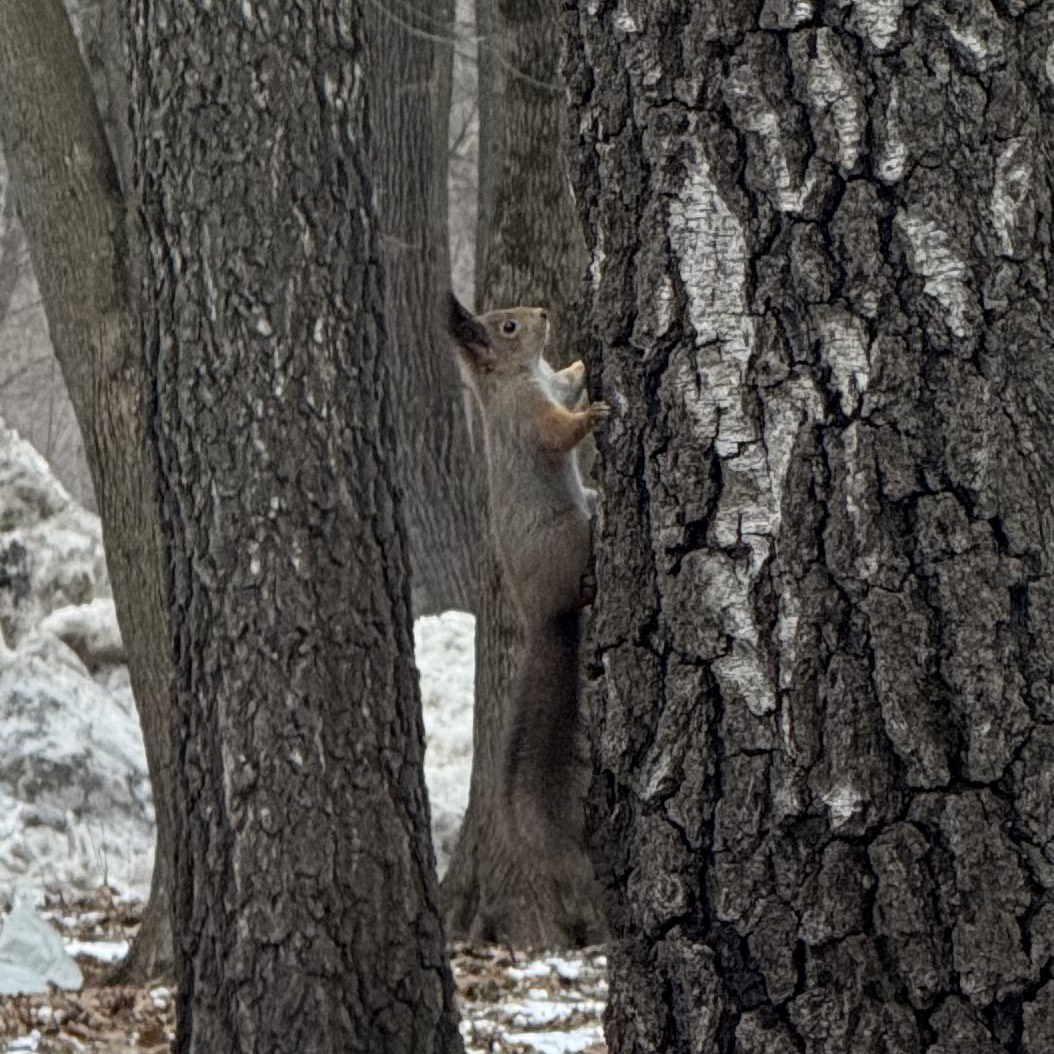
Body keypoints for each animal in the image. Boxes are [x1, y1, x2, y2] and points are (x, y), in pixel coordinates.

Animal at [446, 290, 611, 847]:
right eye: (509, 328)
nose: (543, 314)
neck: (521, 373)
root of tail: (539, 615)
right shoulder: (526, 416)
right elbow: (557, 433)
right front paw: (593, 416)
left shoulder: (552, 384)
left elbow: (568, 379)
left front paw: (585, 361)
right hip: (570, 537)